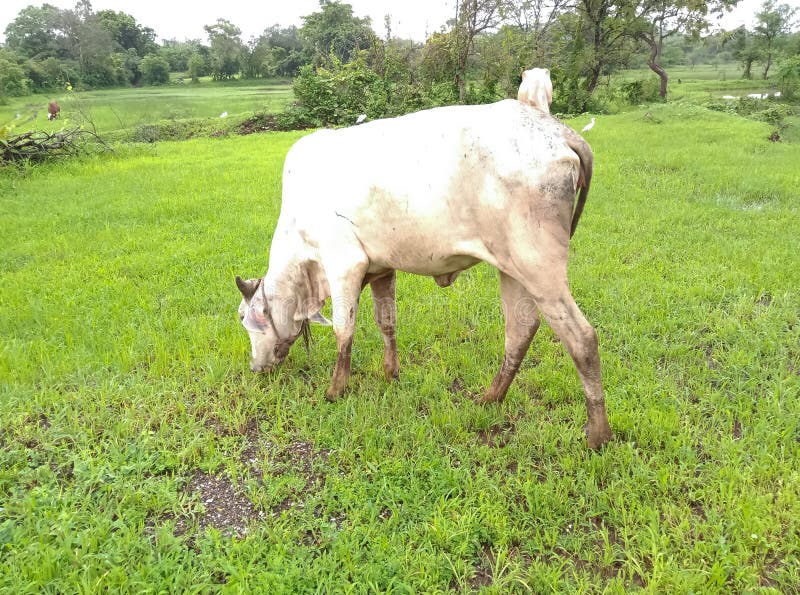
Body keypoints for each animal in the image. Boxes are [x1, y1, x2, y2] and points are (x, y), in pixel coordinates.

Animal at [236, 98, 613, 449]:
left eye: (245, 319)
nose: (254, 367)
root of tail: (559, 131)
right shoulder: (381, 269)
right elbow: (386, 321)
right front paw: (391, 373)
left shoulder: (343, 263)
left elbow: (344, 331)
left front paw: (335, 390)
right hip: (512, 268)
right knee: (520, 330)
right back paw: (490, 398)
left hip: (539, 267)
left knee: (582, 338)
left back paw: (598, 435)